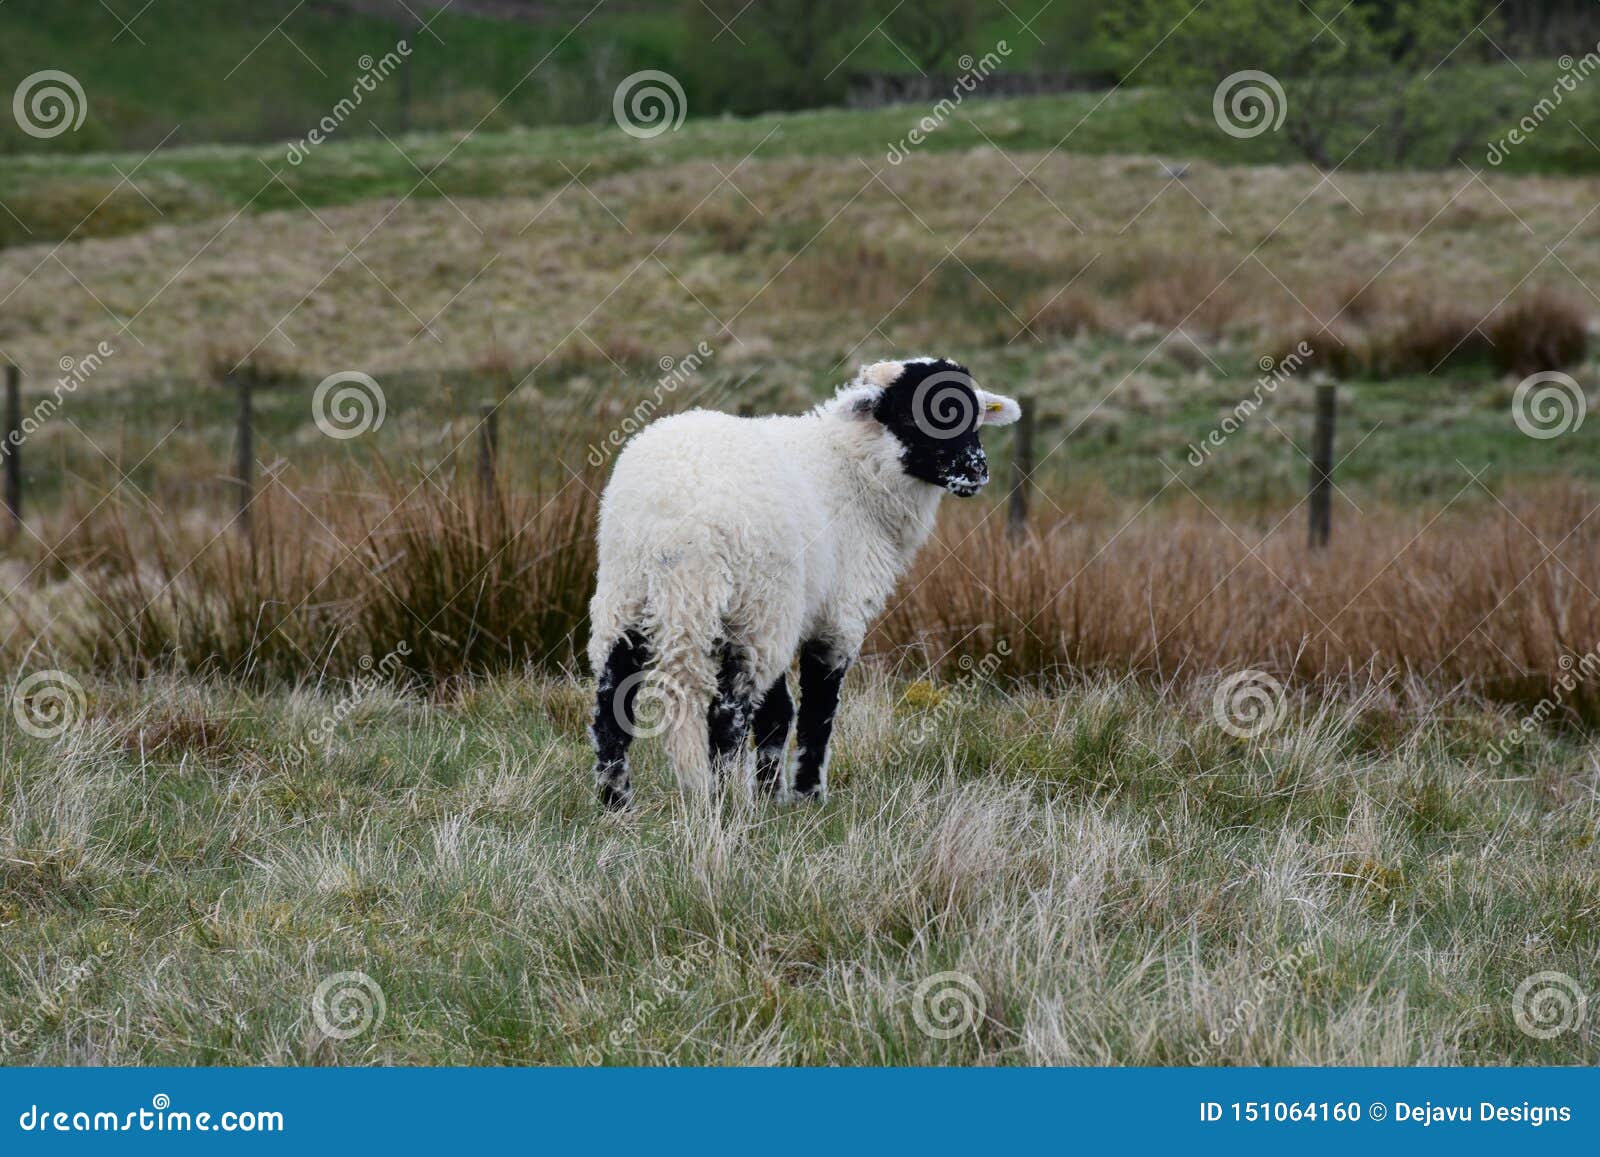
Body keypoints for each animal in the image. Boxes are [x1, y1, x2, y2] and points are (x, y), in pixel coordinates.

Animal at [586, 357, 1022, 808]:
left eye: (975, 414)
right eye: (909, 415)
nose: (975, 471)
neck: (852, 466)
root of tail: (672, 520)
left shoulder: (795, 613)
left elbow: (777, 713)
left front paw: (772, 794)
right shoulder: (837, 615)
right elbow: (817, 711)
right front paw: (808, 794)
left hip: (630, 593)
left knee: (610, 703)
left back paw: (616, 802)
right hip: (753, 605)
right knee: (726, 714)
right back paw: (725, 806)